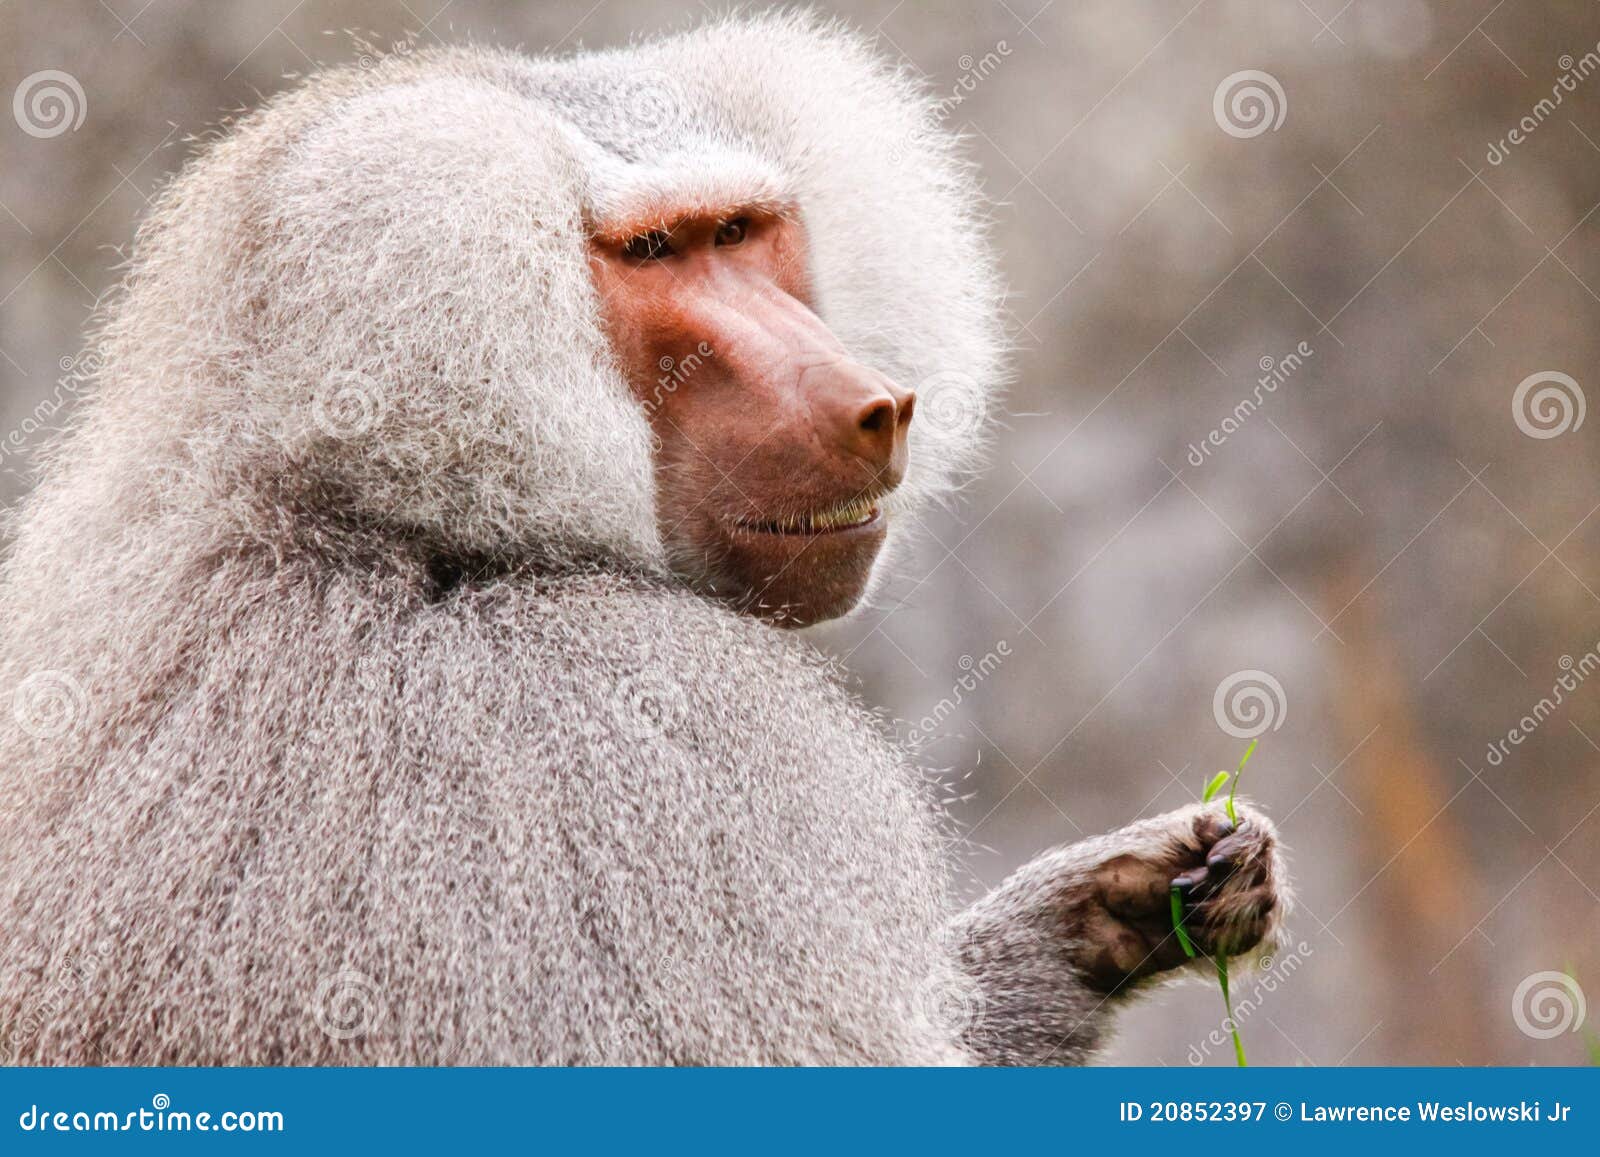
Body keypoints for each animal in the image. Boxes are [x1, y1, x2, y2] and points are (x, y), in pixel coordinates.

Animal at [0, 15, 1287, 1066]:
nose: (872, 404)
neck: (380, 520)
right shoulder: (654, 732)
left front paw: (1112, 910)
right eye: (656, 253)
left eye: (739, 232)